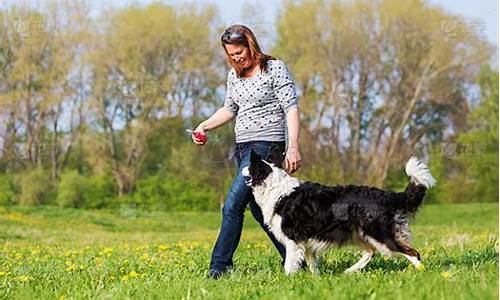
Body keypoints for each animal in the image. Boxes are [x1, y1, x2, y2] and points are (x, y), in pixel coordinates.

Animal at [241, 151, 434, 276]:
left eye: (248, 167)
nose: (240, 171)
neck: (273, 186)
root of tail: (388, 196)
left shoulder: (293, 240)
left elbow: (289, 264)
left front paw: (287, 280)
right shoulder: (306, 241)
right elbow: (312, 264)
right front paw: (316, 280)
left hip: (381, 235)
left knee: (412, 253)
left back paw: (422, 273)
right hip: (359, 234)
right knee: (370, 253)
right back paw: (349, 271)